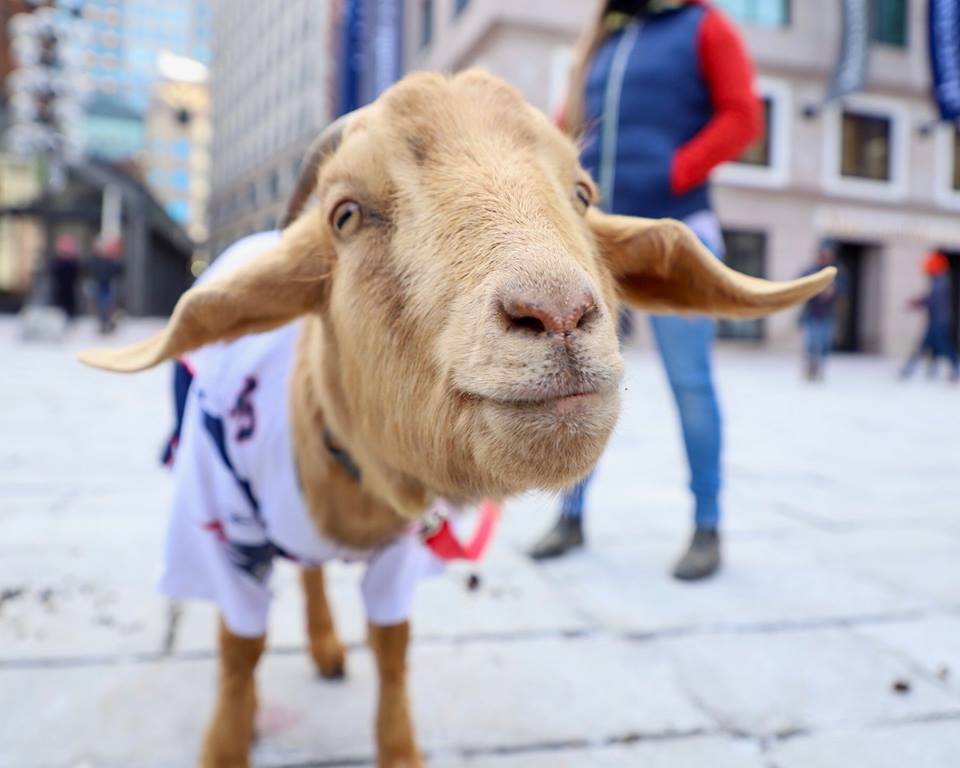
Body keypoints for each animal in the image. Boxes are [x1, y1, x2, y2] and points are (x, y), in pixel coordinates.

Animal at [80, 70, 834, 768]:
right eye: (345, 215)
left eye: (583, 195)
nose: (556, 310)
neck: (346, 487)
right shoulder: (223, 536)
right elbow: (241, 650)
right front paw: (228, 742)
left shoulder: (400, 556)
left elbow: (392, 648)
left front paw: (398, 746)